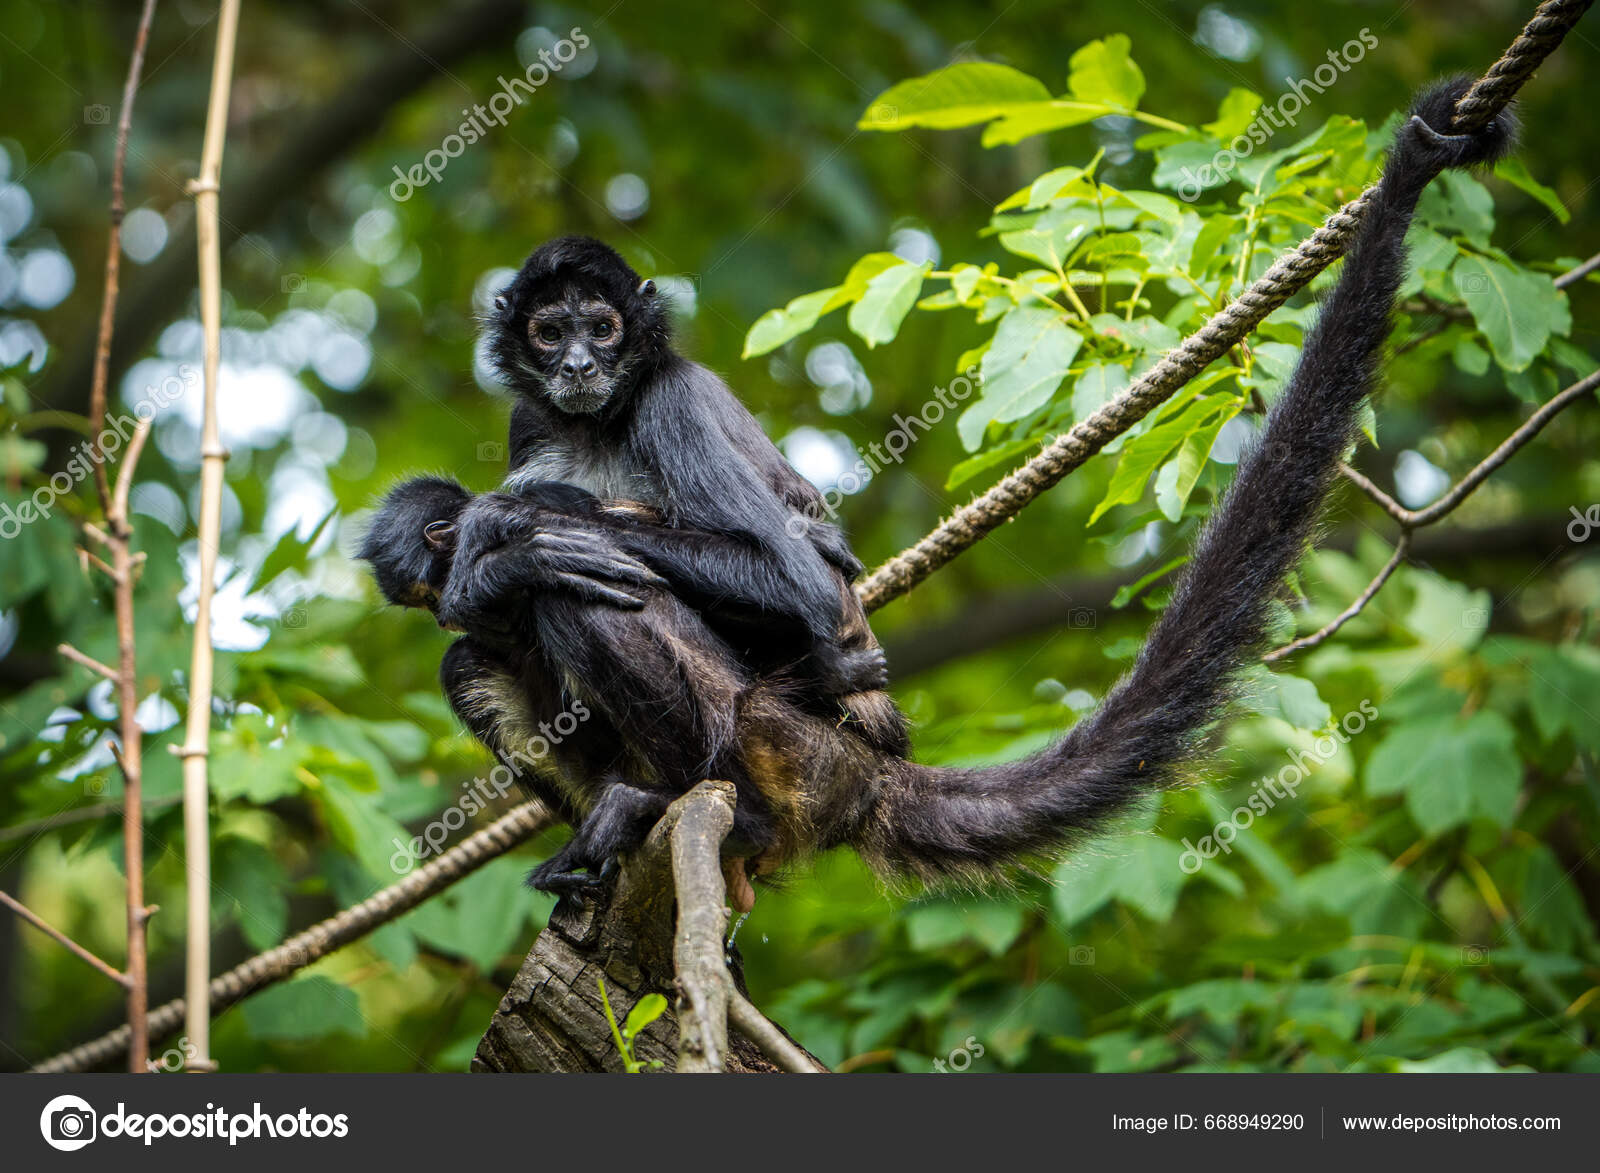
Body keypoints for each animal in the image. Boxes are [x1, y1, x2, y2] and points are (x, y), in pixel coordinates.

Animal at [361, 80, 1514, 899]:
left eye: (602, 328)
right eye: (547, 330)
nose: (576, 364)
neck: (595, 422)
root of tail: (864, 775)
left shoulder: (668, 398)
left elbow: (801, 581)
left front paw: (509, 528)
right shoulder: (536, 420)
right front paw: (477, 550)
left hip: (773, 737)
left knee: (587, 588)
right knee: (478, 652)